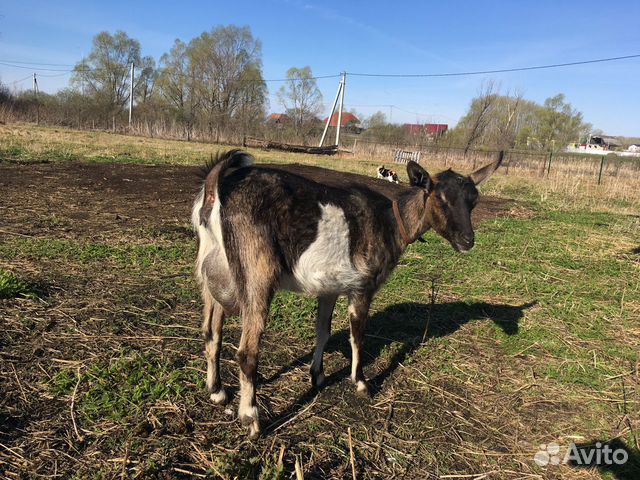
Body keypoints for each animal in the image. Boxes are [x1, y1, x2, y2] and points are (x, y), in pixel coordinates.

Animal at [192, 149, 503, 438]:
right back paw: (252, 419)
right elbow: (357, 336)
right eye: (441, 199)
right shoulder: (363, 287)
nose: (467, 240)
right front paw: (361, 383)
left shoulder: (329, 288)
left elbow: (324, 331)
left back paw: (217, 391)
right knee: (247, 352)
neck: (391, 222)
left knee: (211, 332)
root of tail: (216, 191)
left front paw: (317, 375)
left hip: (215, 275)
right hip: (256, 273)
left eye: (473, 202)